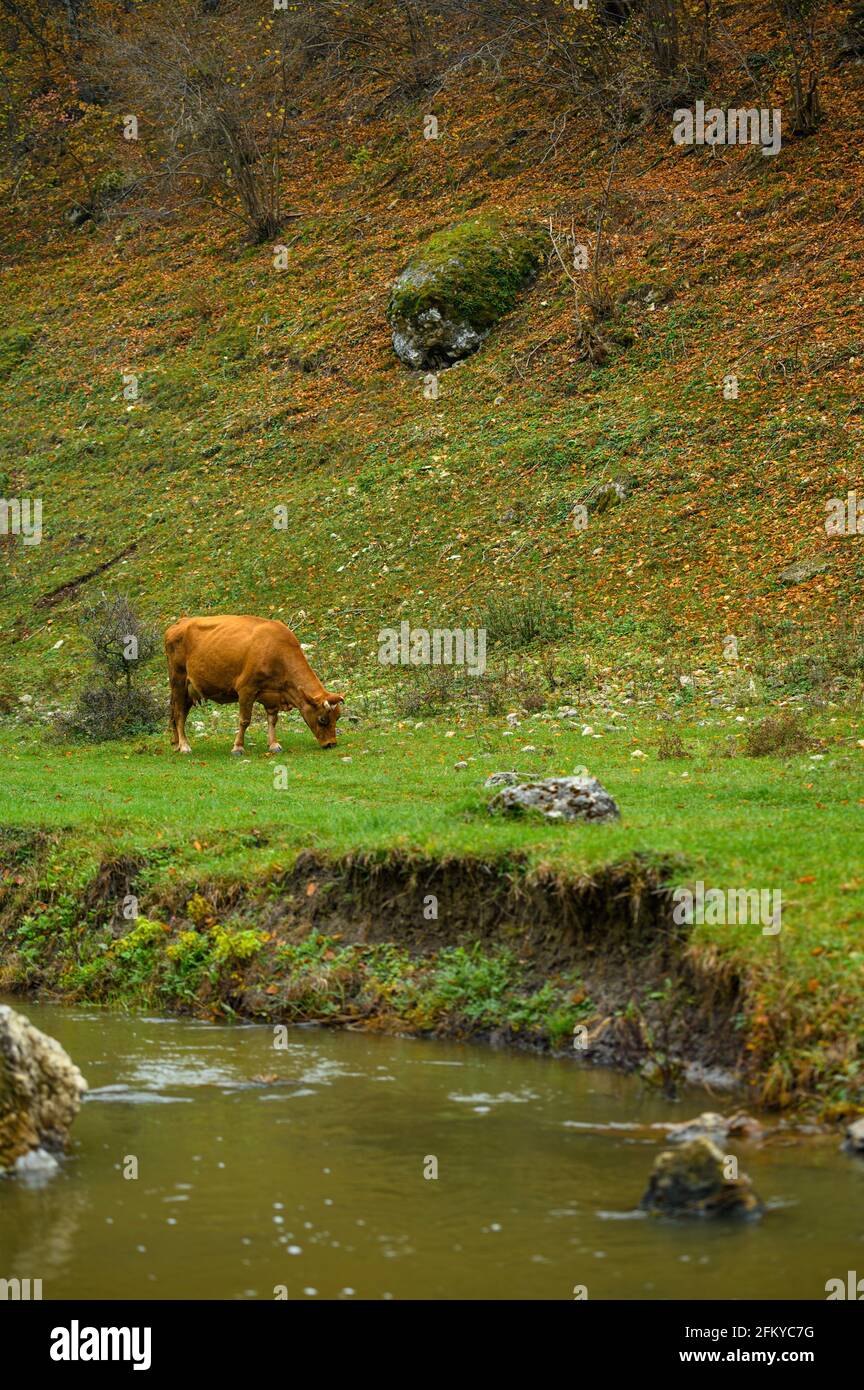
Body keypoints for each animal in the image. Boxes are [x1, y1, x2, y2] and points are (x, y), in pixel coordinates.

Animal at [164, 615, 345, 756]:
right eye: (322, 719)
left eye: (337, 717)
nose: (331, 744)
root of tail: (179, 623)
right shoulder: (246, 690)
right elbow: (244, 720)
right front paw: (238, 747)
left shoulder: (272, 695)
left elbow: (273, 719)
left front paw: (274, 744)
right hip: (178, 681)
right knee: (179, 713)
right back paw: (185, 746)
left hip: (188, 690)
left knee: (179, 713)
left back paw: (177, 743)